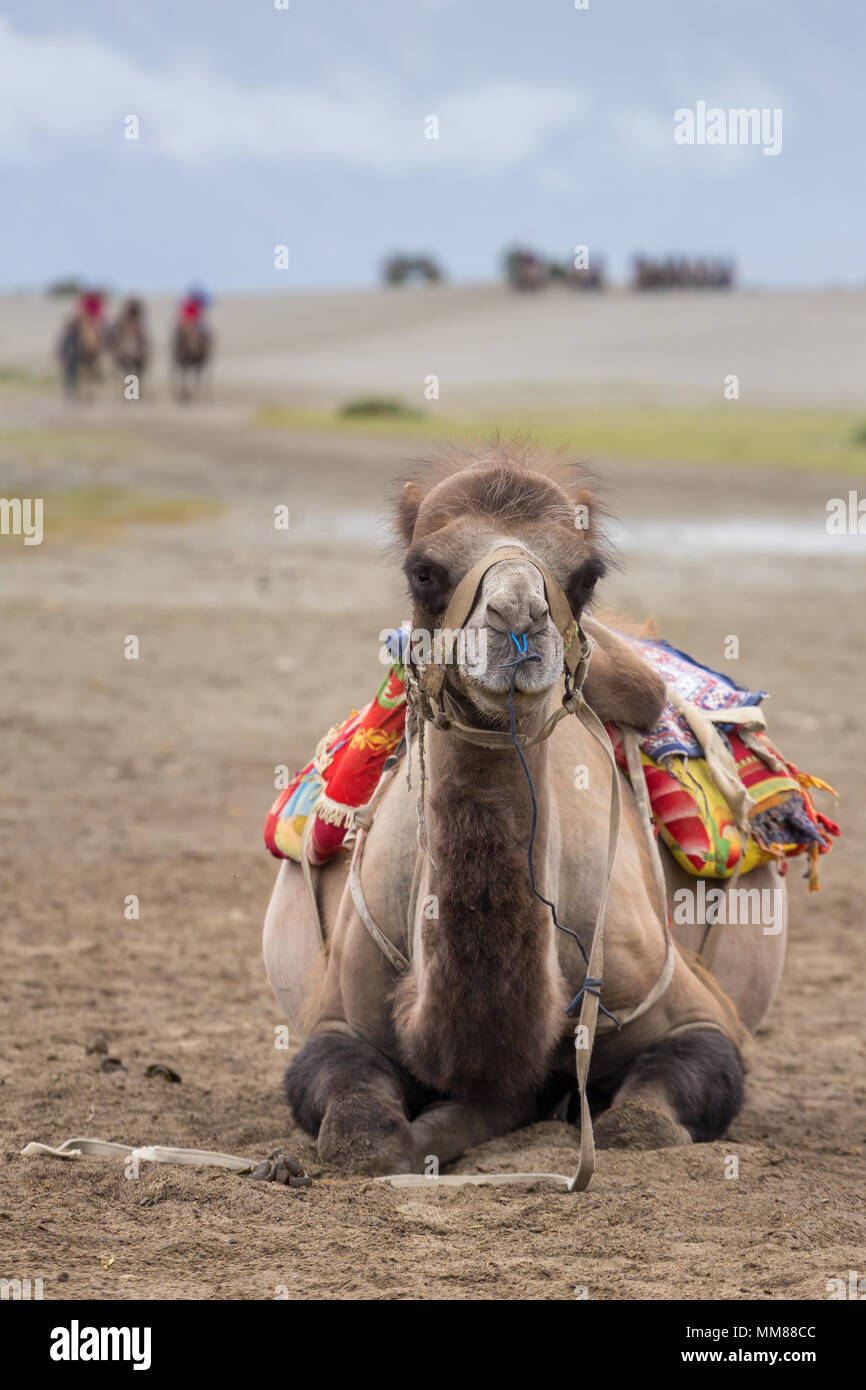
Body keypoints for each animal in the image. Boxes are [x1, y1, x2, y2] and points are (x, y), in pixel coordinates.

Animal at [263, 441, 786, 1177]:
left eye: (587, 574)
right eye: (423, 569)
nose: (517, 619)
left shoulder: (695, 1014)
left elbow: (639, 1127)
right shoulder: (337, 1017)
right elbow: (361, 1134)